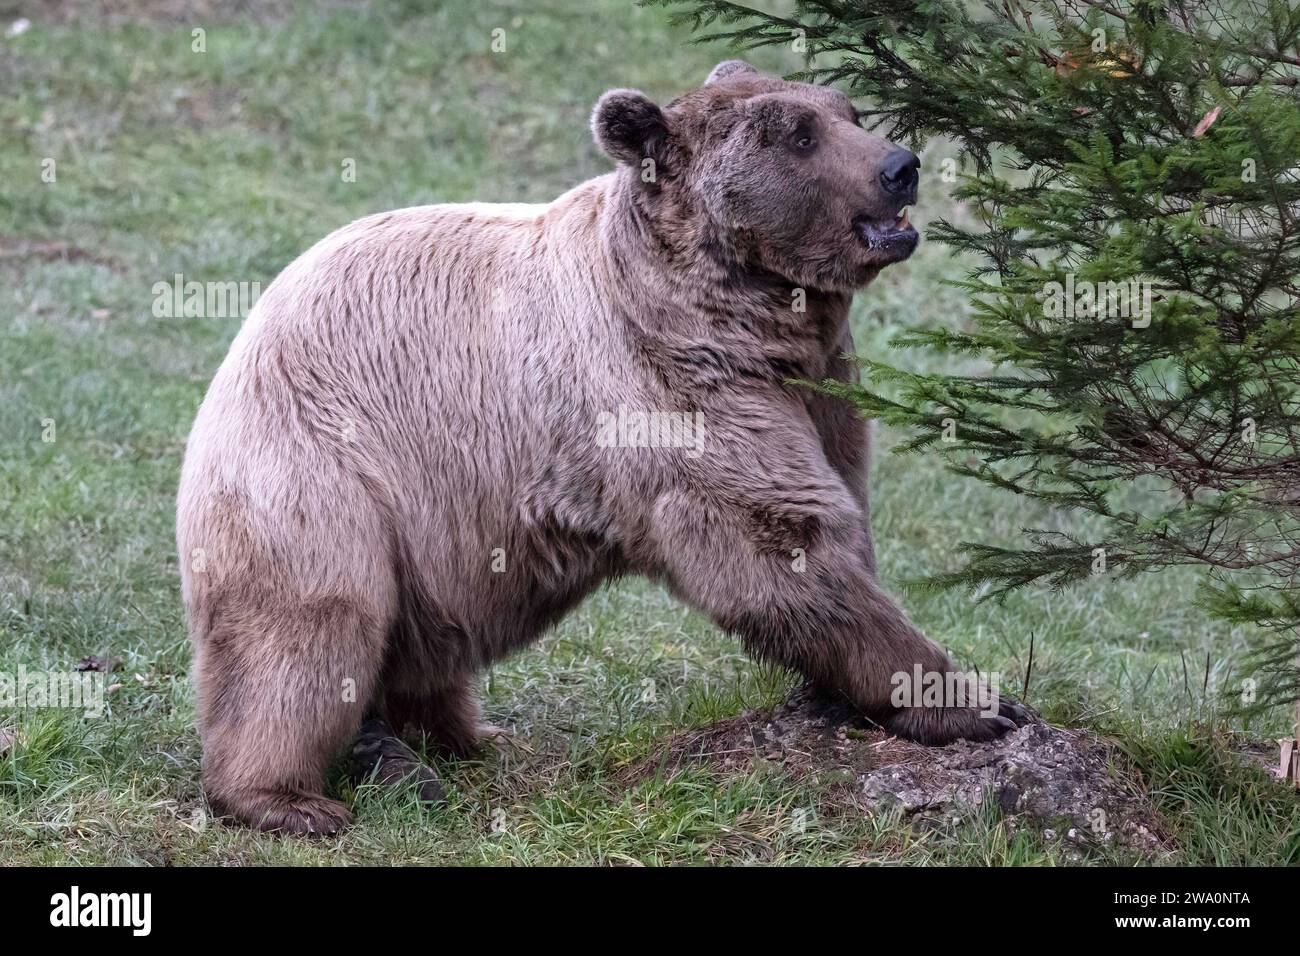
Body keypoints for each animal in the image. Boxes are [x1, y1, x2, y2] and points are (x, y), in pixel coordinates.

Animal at [176, 59, 1029, 834]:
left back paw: (459, 739)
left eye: (846, 109)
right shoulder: (672, 389)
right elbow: (778, 540)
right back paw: (284, 797)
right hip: (323, 467)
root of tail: (241, 344)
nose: (900, 167)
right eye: (798, 135)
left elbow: (838, 512)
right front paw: (975, 702)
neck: (750, 323)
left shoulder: (820, 390)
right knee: (312, 624)